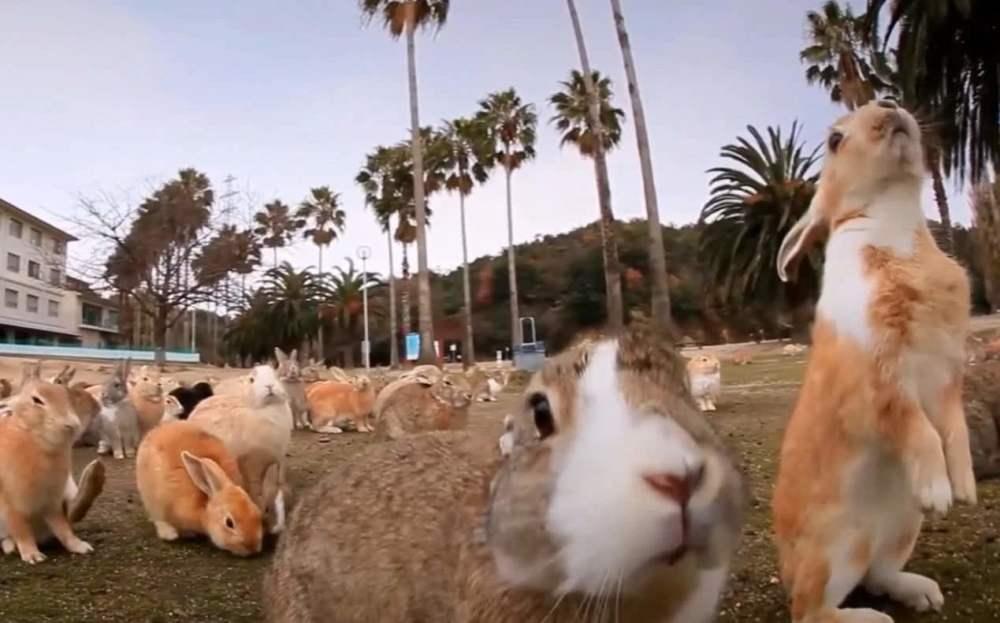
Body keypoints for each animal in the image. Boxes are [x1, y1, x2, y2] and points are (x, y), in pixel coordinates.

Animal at [0, 362, 96, 564]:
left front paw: (80, 546)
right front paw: (32, 556)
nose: (72, 425)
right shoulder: (11, 503)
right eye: (37, 400)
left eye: (64, 395)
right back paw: (11, 548)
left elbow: (62, 528)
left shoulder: (51, 502)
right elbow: (21, 529)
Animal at [136, 420, 263, 556]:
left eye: (257, 512)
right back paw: (169, 534)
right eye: (229, 523)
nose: (253, 547)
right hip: (151, 499)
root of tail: (156, 430)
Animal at [772, 101, 977, 623]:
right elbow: (918, 428)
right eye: (835, 140)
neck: (890, 217)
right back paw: (870, 618)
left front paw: (964, 490)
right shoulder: (879, 383)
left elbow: (954, 429)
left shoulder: (946, 379)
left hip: (902, 530)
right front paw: (940, 494)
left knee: (880, 576)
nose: (889, 104)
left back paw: (923, 593)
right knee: (812, 610)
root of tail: (788, 571)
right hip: (836, 553)